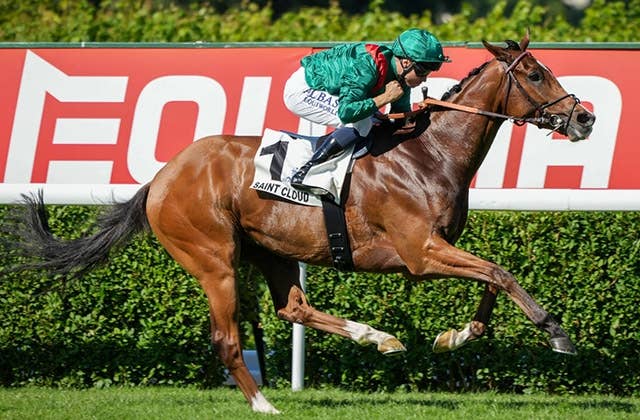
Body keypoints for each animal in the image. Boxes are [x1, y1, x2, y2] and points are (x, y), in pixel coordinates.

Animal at [6, 32, 595, 414]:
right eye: (536, 73)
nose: (585, 117)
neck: (428, 154)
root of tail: (161, 177)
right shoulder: (420, 253)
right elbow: (500, 272)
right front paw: (557, 333)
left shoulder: (437, 249)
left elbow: (492, 281)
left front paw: (455, 336)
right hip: (214, 259)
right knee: (227, 338)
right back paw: (264, 403)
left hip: (272, 249)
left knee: (294, 307)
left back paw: (377, 336)